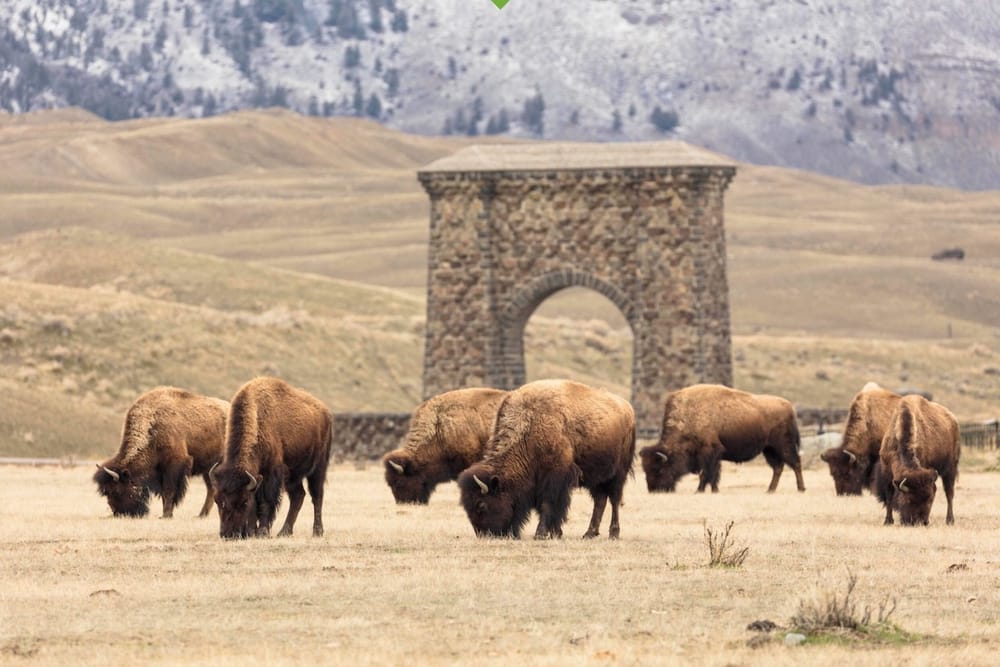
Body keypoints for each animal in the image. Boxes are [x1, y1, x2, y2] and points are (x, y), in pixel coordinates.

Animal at [94, 387, 228, 518]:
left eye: (115, 491)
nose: (118, 513)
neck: (152, 426)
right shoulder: (161, 472)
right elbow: (164, 492)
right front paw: (167, 513)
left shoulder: (174, 466)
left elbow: (169, 490)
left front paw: (166, 515)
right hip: (208, 469)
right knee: (211, 489)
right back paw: (201, 515)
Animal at [211, 377, 332, 539]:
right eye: (217, 500)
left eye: (243, 502)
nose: (228, 534)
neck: (257, 418)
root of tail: (326, 412)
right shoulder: (258, 479)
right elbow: (256, 504)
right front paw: (252, 532)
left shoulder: (271, 473)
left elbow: (265, 501)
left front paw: (262, 532)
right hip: (292, 477)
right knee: (298, 496)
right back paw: (284, 532)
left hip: (318, 468)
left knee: (317, 495)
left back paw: (317, 531)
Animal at [457, 379, 635, 540]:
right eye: (466, 508)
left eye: (481, 505)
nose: (484, 535)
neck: (530, 423)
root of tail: (628, 409)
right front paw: (556, 533)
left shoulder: (554, 478)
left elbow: (548, 505)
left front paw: (541, 534)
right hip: (596, 477)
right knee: (600, 500)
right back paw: (589, 533)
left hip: (618, 474)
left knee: (614, 500)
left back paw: (613, 533)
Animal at [639, 384, 804, 493]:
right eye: (645, 469)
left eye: (659, 469)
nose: (654, 490)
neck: (689, 416)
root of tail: (789, 407)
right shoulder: (716, 454)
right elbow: (714, 474)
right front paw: (714, 490)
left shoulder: (710, 451)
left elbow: (707, 473)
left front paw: (699, 490)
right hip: (769, 449)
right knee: (778, 467)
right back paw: (770, 490)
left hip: (783, 446)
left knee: (795, 463)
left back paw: (801, 488)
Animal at [875, 395, 960, 526]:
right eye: (909, 499)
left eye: (930, 499)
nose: (920, 522)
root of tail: (953, 420)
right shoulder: (886, 472)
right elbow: (889, 496)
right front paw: (888, 521)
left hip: (950, 469)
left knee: (949, 493)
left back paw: (950, 520)